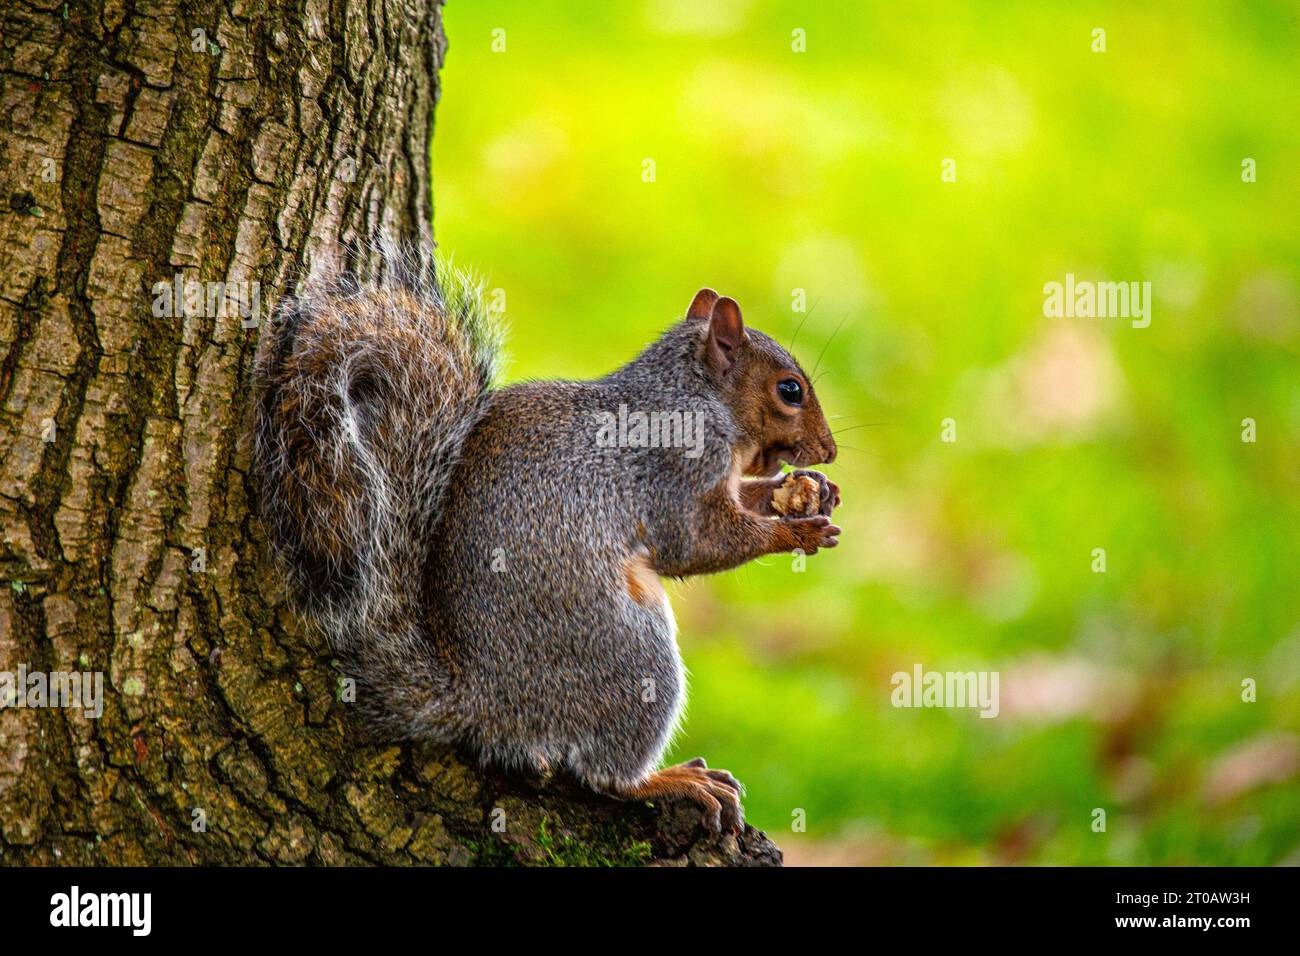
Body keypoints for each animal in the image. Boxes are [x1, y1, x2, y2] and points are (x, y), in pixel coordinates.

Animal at [250, 249, 841, 833]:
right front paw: (797, 529)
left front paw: (810, 492)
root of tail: (482, 700)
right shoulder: (677, 469)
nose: (830, 451)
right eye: (790, 389)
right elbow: (697, 543)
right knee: (605, 774)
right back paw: (670, 780)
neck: (692, 396)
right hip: (634, 656)